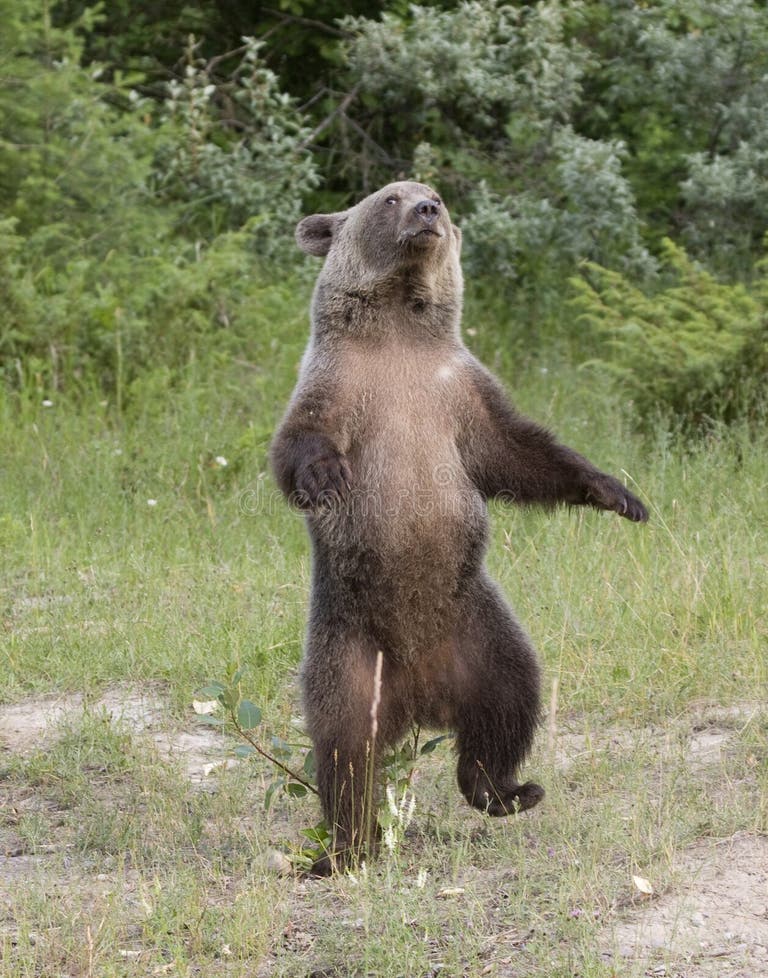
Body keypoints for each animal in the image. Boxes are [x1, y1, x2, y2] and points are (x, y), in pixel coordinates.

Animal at [270, 181, 647, 874]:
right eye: (390, 198)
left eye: (435, 195)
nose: (427, 212)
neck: (398, 333)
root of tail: (422, 699)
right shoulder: (338, 387)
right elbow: (298, 442)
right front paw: (325, 477)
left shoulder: (459, 392)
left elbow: (519, 452)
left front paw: (617, 492)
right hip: (350, 649)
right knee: (344, 750)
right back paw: (349, 846)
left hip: (479, 630)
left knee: (510, 704)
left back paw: (506, 790)